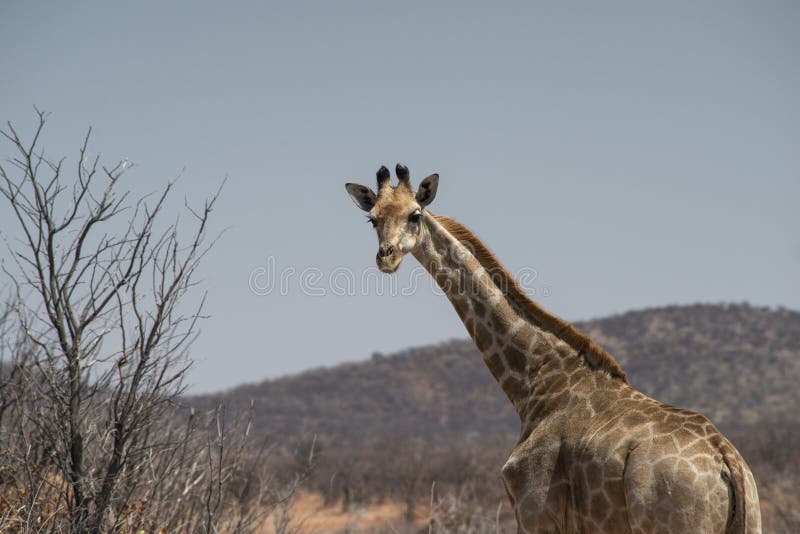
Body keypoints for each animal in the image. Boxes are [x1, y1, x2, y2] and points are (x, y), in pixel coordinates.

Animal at [345, 165, 761, 534]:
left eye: (415, 215)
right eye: (373, 219)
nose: (386, 257)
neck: (535, 382)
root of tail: (730, 464)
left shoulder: (535, 513)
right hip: (751, 521)